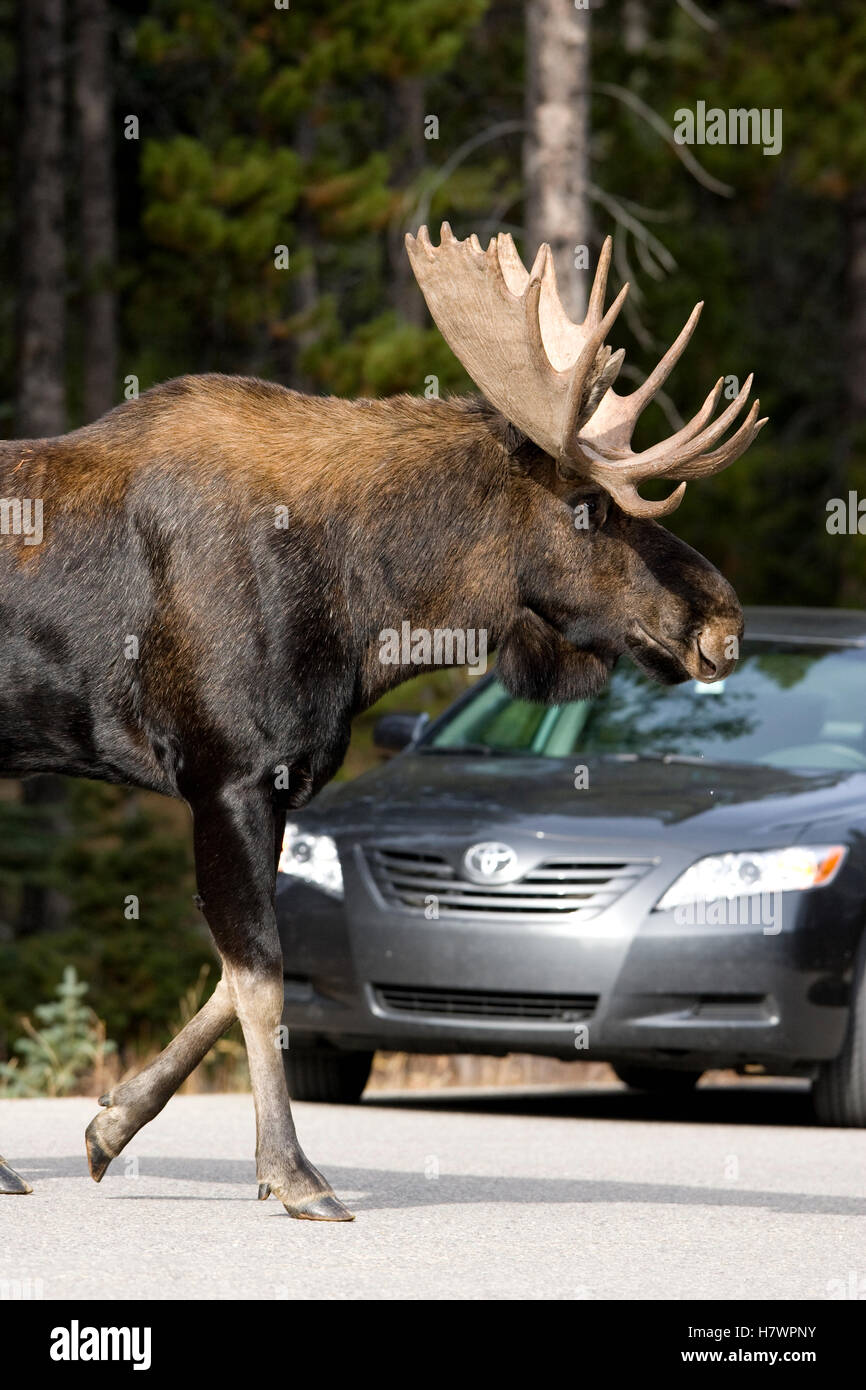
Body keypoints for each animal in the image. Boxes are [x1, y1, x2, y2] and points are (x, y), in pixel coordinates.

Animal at [0, 227, 765, 1219]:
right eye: (590, 507)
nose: (723, 623)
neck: (369, 617)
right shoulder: (226, 773)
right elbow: (261, 981)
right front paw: (292, 1174)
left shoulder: (282, 780)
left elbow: (237, 973)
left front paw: (110, 1125)